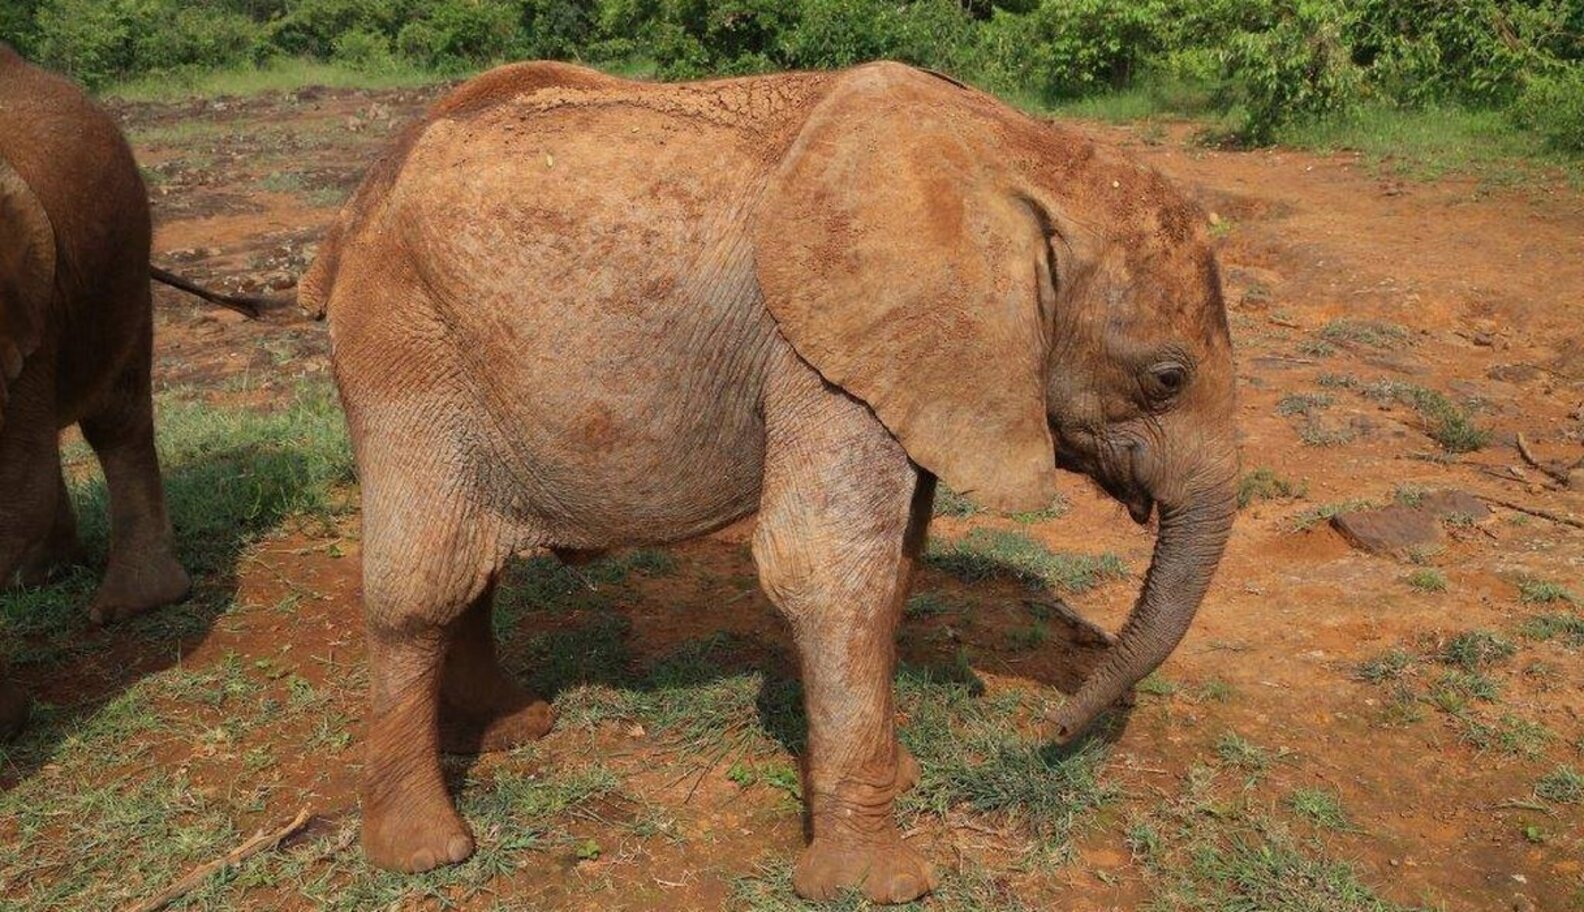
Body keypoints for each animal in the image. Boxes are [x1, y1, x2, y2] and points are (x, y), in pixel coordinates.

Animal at [304, 60, 1237, 903]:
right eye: (1167, 378)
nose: (1048, 730)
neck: (1031, 157)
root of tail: (354, 208)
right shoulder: (819, 352)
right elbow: (826, 572)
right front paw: (877, 884)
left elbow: (896, 562)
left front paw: (893, 774)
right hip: (404, 343)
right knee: (423, 582)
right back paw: (425, 853)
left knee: (469, 560)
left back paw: (514, 730)